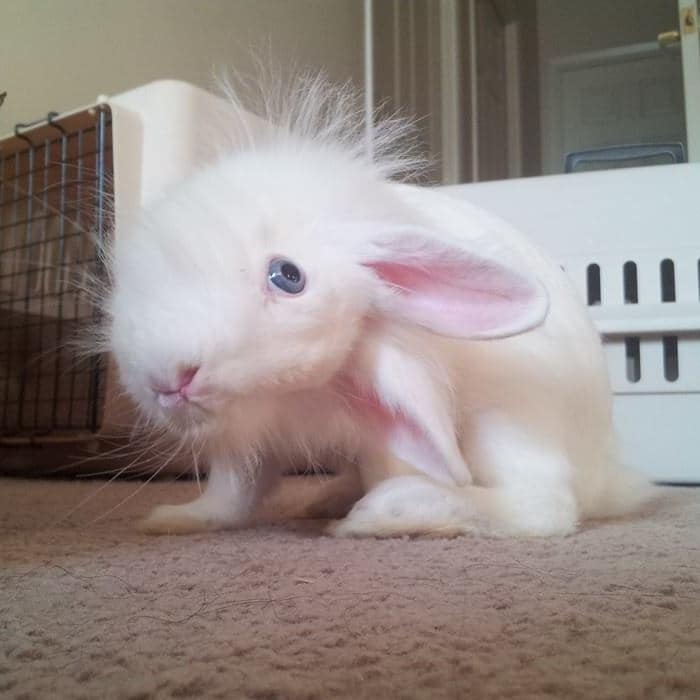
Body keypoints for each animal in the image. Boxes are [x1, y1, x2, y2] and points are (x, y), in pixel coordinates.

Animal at [104, 74, 653, 538]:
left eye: (287, 276)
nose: (181, 384)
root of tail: (604, 477)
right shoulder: (253, 438)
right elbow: (233, 492)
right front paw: (170, 519)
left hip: (509, 420)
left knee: (545, 507)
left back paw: (378, 514)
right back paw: (327, 499)